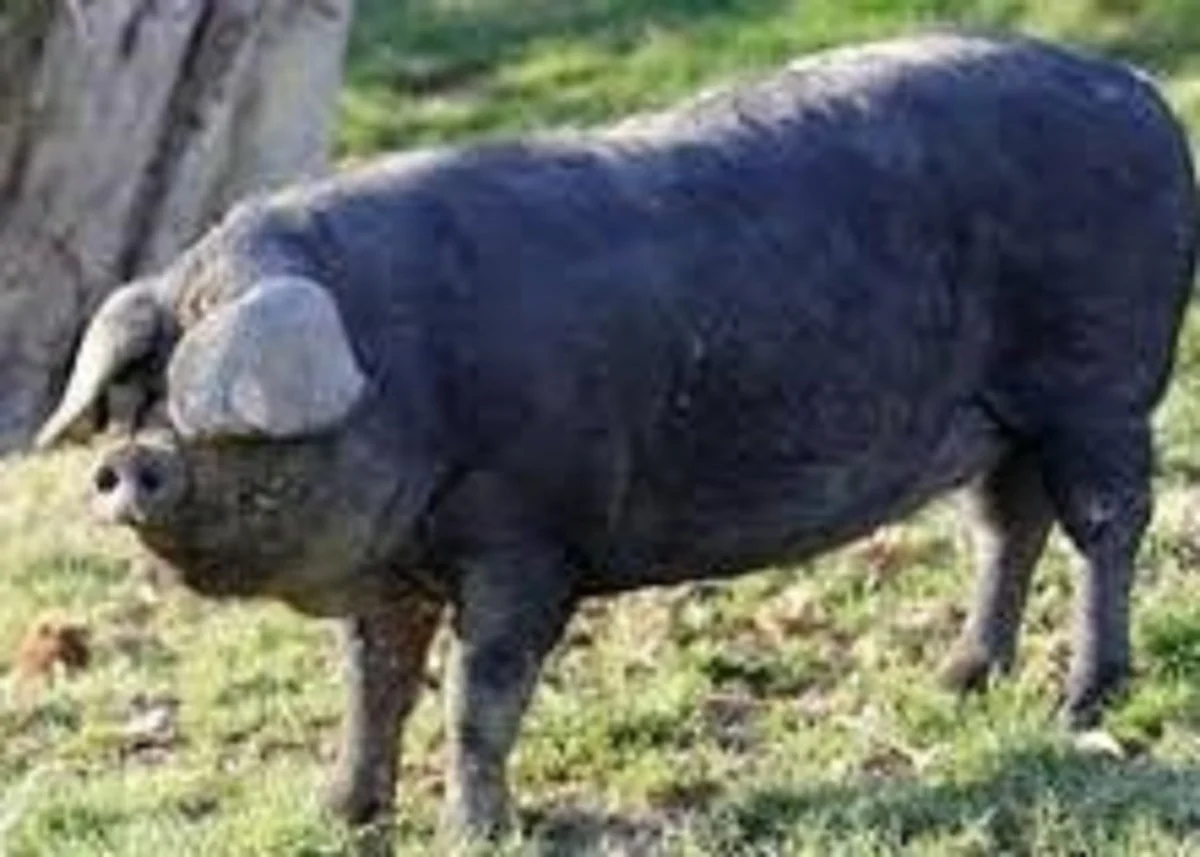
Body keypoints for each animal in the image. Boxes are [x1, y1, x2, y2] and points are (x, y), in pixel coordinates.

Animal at [35, 32, 1198, 836]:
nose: (125, 463)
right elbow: (374, 683)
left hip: (1100, 383)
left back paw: (1082, 700)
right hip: (1001, 417)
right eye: (138, 394)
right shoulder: (391, 572)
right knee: (1007, 526)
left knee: (1106, 524)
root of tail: (1139, 91)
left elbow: (479, 692)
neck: (406, 373)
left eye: (211, 408)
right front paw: (341, 815)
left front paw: (479, 832)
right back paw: (958, 681)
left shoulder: (531, 538)